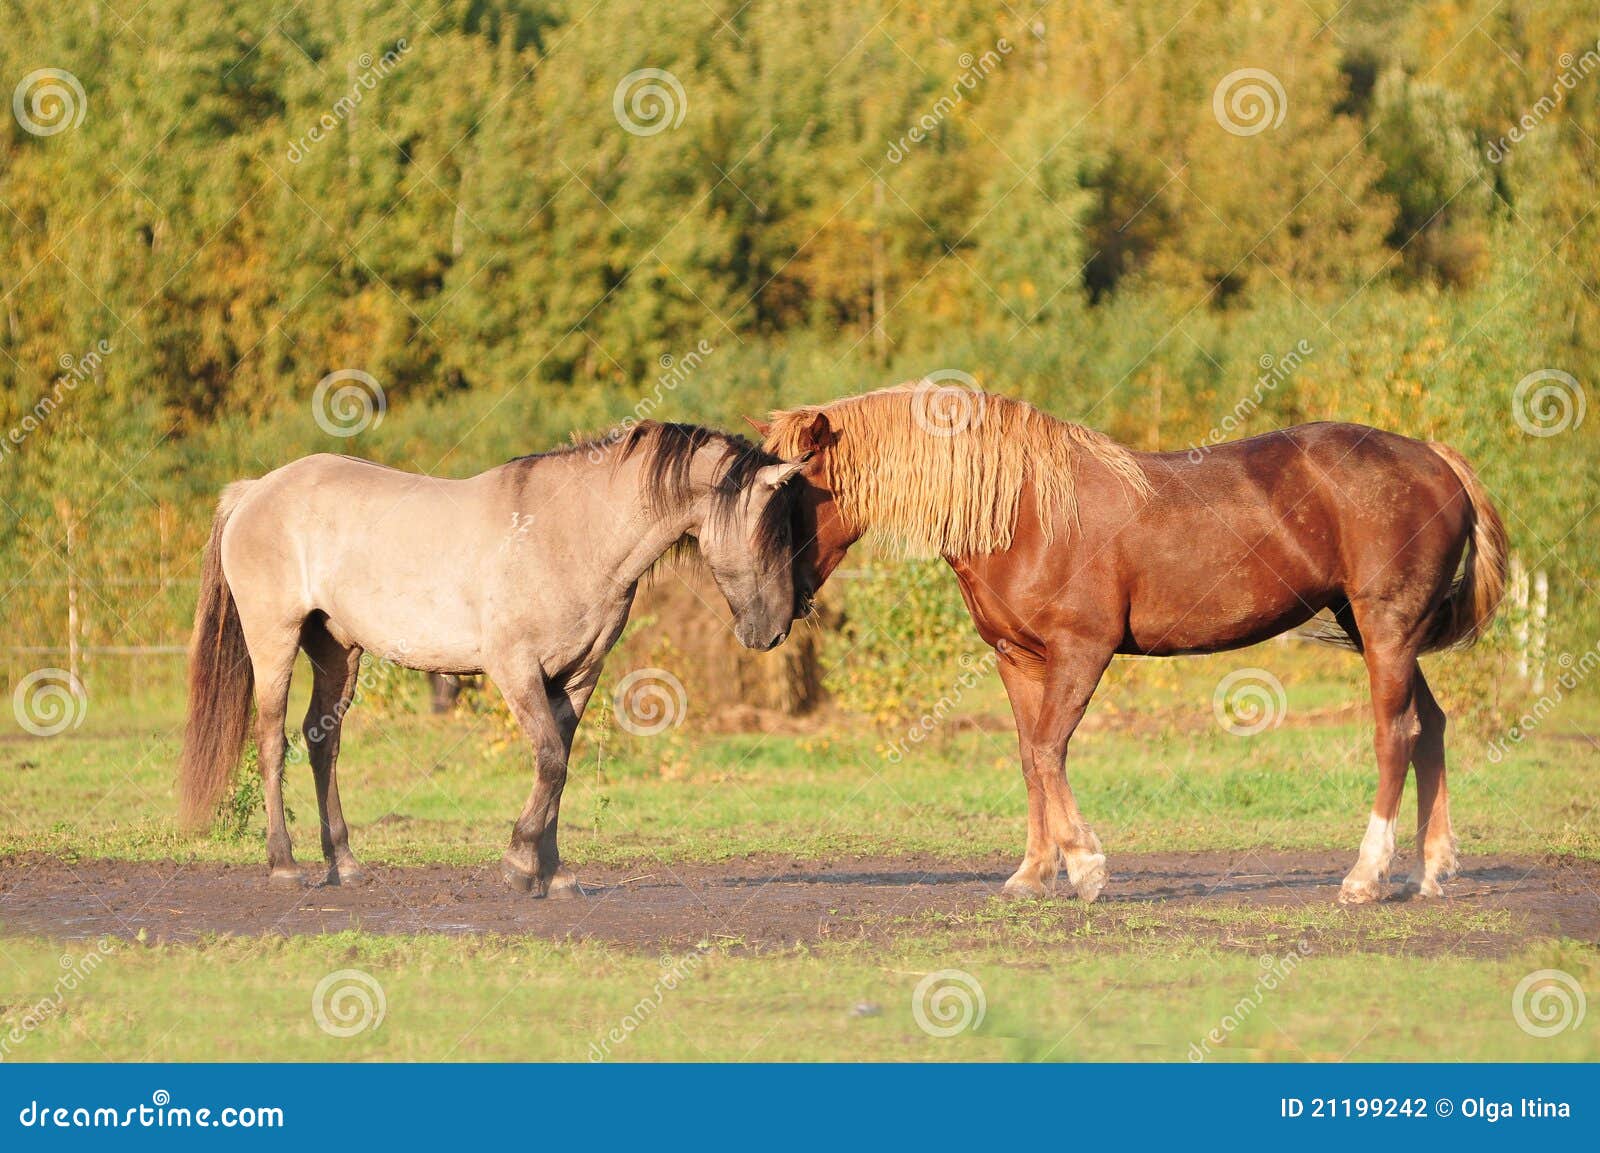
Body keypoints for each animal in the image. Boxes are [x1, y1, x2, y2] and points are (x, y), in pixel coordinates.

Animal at [178, 422, 805, 897]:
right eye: (771, 533)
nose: (774, 630)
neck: (570, 532)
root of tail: (254, 491)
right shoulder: (515, 671)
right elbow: (550, 761)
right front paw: (520, 865)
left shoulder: (578, 678)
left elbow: (560, 766)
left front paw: (554, 874)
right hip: (274, 640)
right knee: (269, 741)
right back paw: (284, 864)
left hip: (337, 650)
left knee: (320, 741)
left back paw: (345, 864)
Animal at [760, 383, 1507, 905]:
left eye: (788, 492)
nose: (771, 611)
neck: (1025, 510)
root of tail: (1433, 457)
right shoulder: (1017, 660)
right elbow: (1030, 756)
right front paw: (1034, 871)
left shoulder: (1081, 652)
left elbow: (1049, 749)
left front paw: (1086, 866)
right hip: (1377, 629)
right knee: (1431, 725)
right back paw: (1429, 871)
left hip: (1386, 628)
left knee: (1395, 734)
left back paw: (1365, 875)